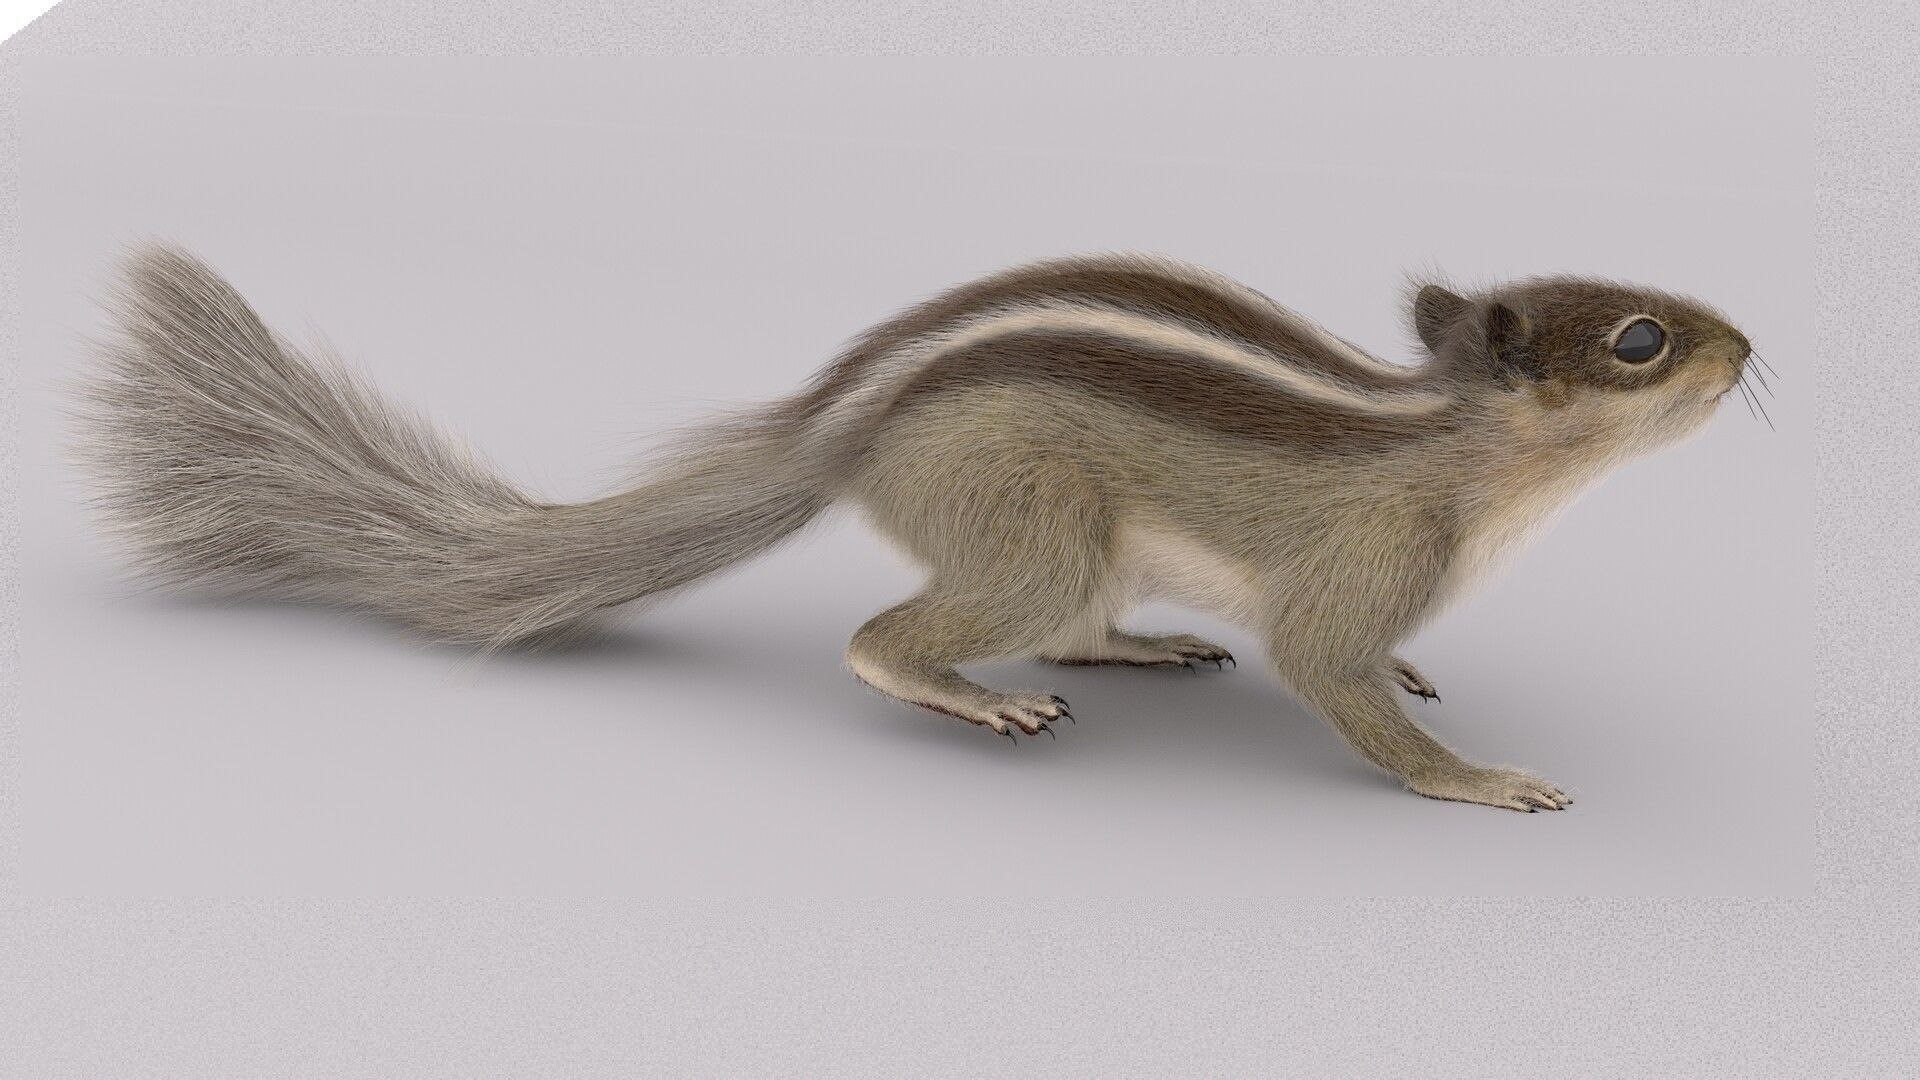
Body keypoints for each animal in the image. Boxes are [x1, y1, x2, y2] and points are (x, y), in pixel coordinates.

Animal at [78, 244, 1765, 812]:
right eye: (1640, 343)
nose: (1751, 346)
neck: (1458, 447)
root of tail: (840, 429)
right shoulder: (1363, 565)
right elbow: (1334, 673)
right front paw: (1482, 779)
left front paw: (1431, 687)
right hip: (1029, 521)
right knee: (890, 634)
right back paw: (973, 692)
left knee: (1079, 625)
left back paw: (1140, 648)